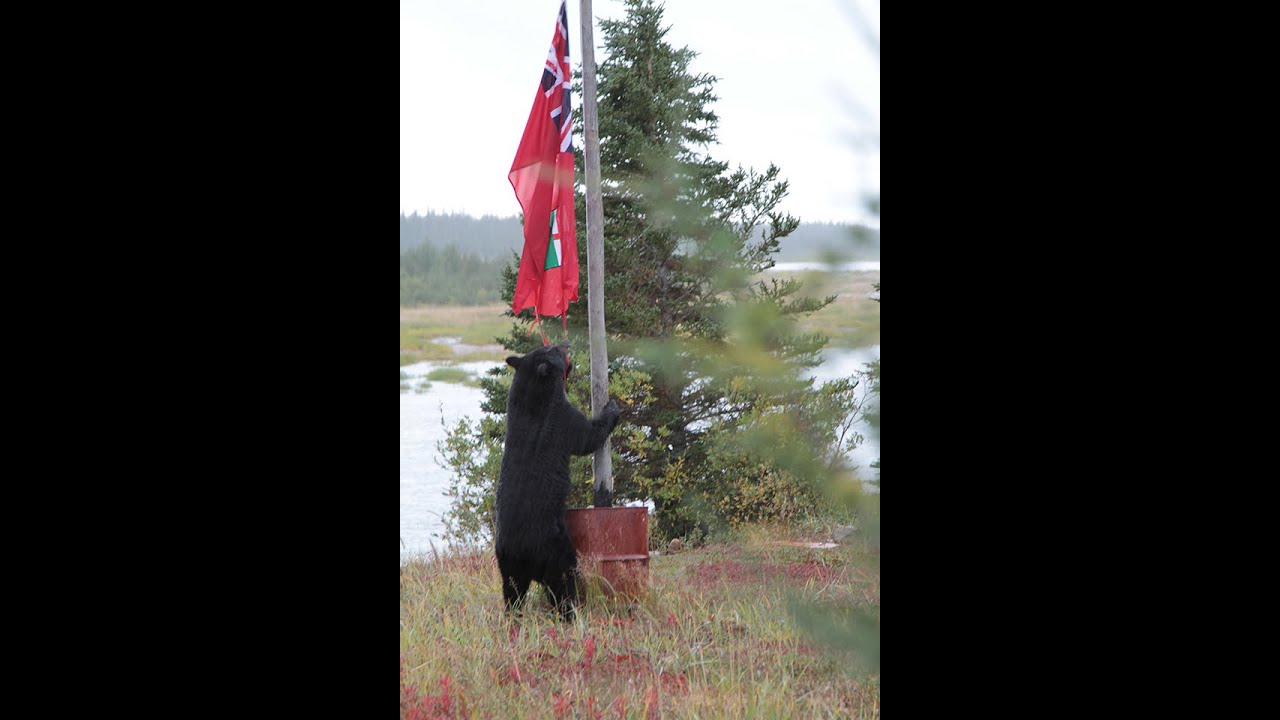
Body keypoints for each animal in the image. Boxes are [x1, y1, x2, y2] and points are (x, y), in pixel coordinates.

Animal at [495, 340, 620, 619]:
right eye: (554, 350)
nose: (565, 343)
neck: (532, 398)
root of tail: (522, 553)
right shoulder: (561, 421)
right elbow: (587, 436)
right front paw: (612, 408)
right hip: (555, 549)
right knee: (563, 582)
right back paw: (570, 613)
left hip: (507, 565)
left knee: (512, 591)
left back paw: (513, 616)